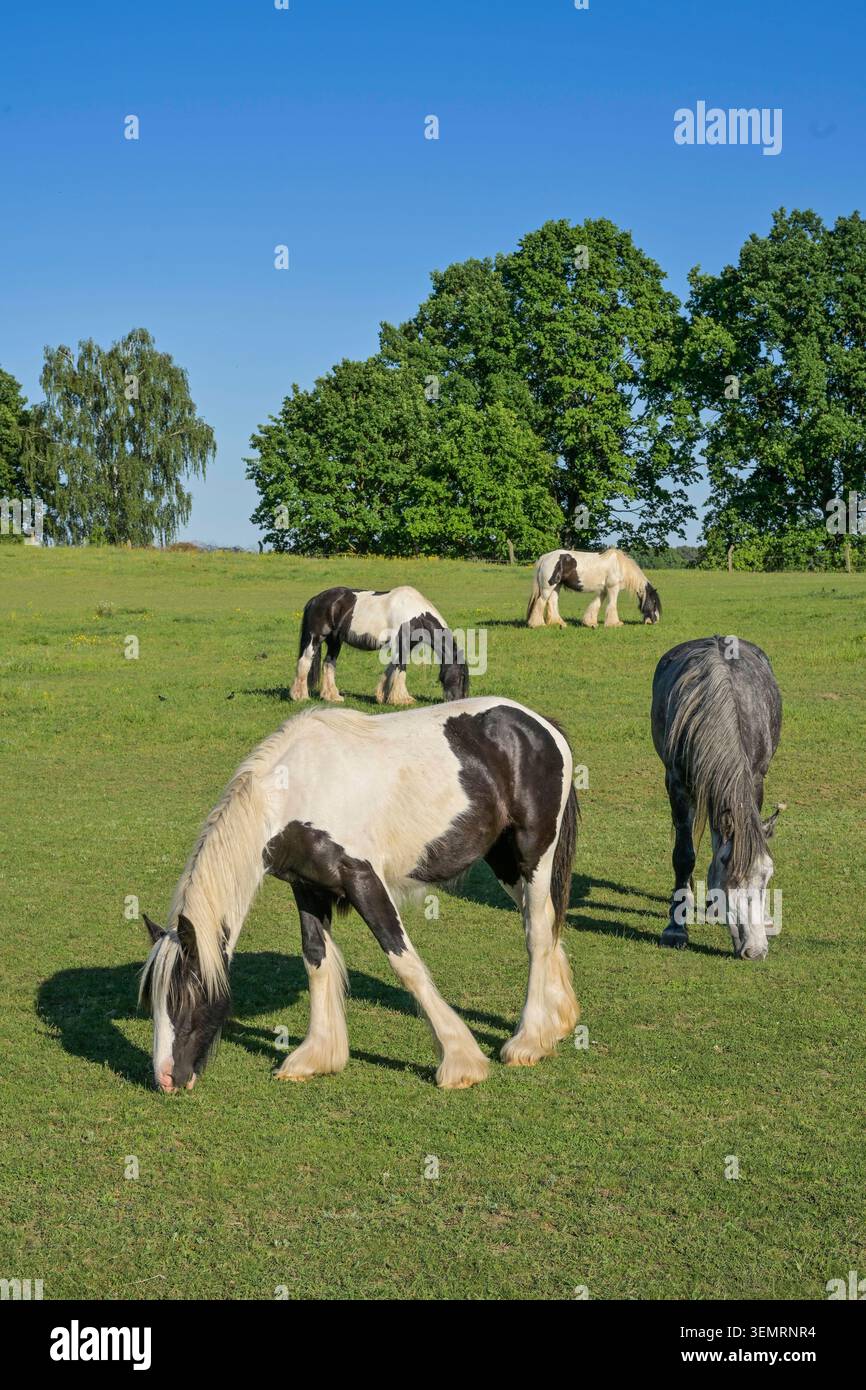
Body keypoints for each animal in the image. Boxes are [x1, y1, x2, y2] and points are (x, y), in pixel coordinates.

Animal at [139, 697, 579, 1092]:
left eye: (183, 997)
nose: (165, 1079)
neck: (292, 794)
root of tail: (541, 725)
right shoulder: (308, 888)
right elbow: (316, 960)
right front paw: (316, 1057)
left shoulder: (364, 880)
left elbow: (404, 961)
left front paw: (459, 1062)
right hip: (503, 862)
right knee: (542, 922)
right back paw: (556, 1023)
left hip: (532, 854)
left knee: (537, 934)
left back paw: (527, 1042)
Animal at [290, 585, 469, 705]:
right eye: (461, 677)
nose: (459, 701)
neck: (415, 613)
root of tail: (316, 599)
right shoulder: (400, 645)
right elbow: (401, 669)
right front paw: (402, 699)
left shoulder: (405, 647)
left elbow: (391, 669)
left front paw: (383, 696)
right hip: (315, 638)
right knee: (304, 663)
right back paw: (301, 696)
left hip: (335, 641)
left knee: (328, 664)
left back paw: (332, 696)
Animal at [526, 548, 661, 629]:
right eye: (654, 602)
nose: (655, 621)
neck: (619, 565)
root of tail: (545, 557)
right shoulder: (613, 588)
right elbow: (612, 605)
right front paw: (615, 623)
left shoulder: (603, 590)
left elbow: (596, 604)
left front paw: (590, 623)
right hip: (548, 587)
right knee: (540, 602)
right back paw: (537, 624)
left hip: (556, 586)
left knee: (552, 602)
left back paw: (560, 623)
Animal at [651, 637, 785, 959]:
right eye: (732, 881)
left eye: (767, 878)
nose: (755, 951)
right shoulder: (677, 784)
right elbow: (684, 855)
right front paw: (675, 927)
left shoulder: (755, 779)